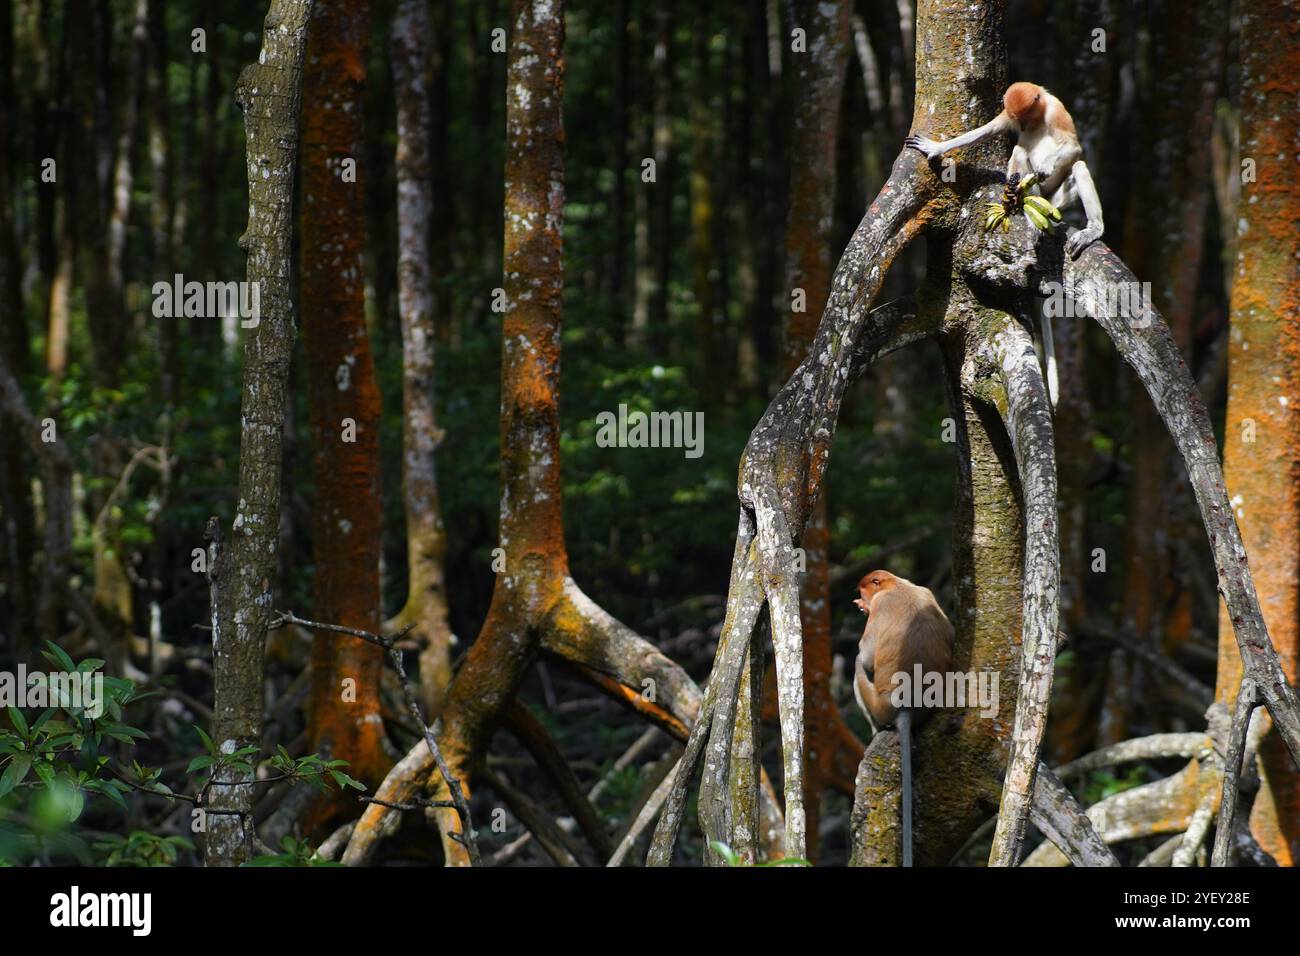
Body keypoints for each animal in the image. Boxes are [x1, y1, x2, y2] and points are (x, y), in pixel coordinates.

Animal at [853, 570, 954, 866]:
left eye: (865, 591)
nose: (860, 604)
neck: (897, 585)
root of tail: (906, 705)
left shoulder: (880, 606)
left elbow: (865, 660)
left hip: (878, 703)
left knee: (859, 666)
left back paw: (877, 730)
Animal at [905, 82, 1106, 406]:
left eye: (1027, 116)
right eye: (1017, 119)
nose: (1021, 127)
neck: (1038, 116)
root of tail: (1046, 202)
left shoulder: (1056, 109)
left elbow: (1073, 146)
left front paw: (1045, 167)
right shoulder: (1006, 117)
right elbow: (987, 131)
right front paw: (934, 148)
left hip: (1058, 197)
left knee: (1078, 166)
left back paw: (1089, 228)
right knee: (1020, 151)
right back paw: (1020, 201)